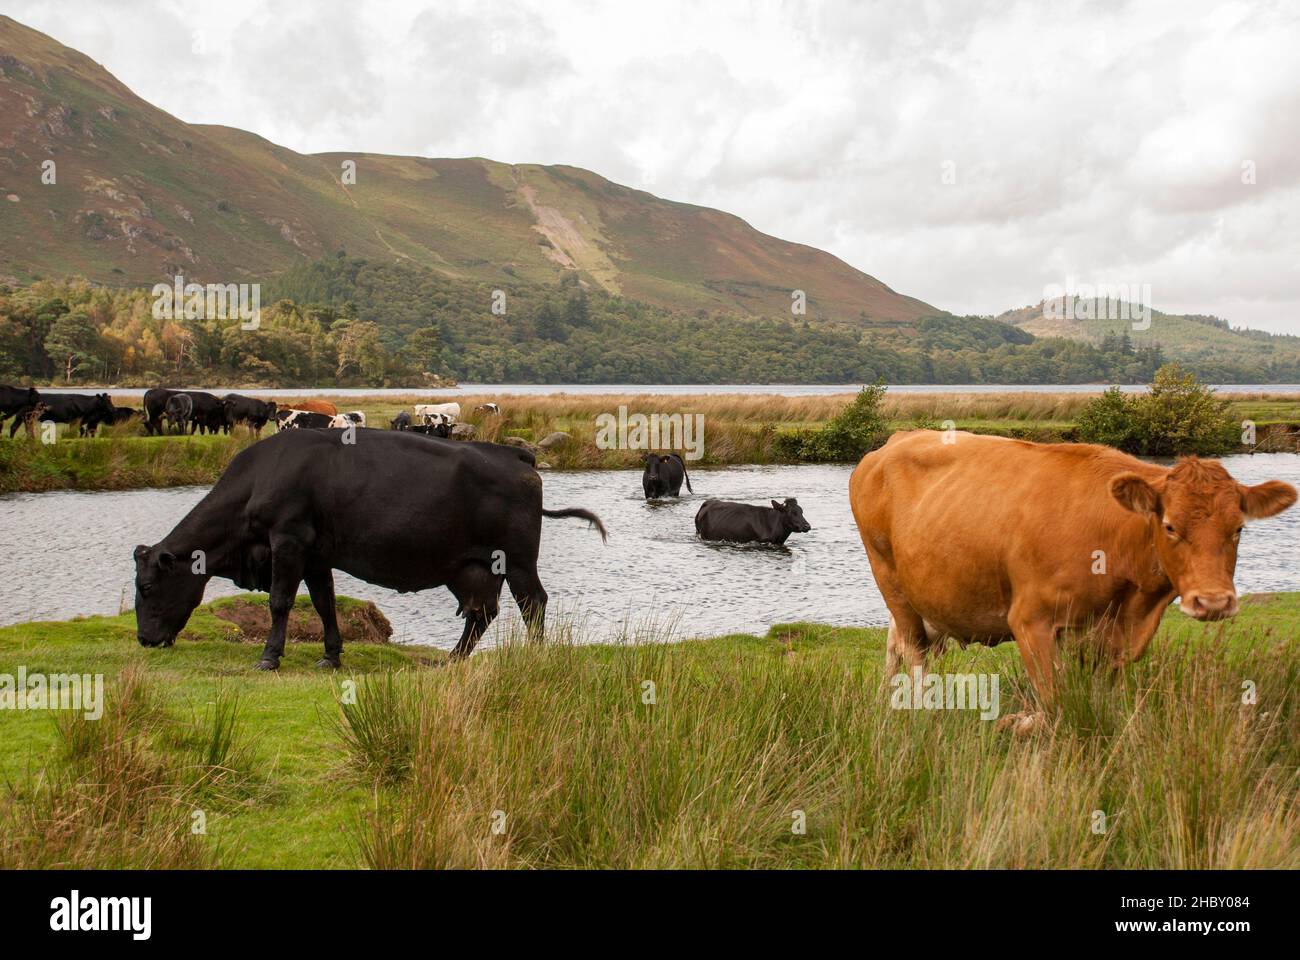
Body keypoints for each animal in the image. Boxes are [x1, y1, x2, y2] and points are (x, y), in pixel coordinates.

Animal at [132, 429, 608, 670]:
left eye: (148, 588)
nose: (143, 639)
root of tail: (517, 456)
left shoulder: (288, 540)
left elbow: (280, 601)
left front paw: (269, 657)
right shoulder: (316, 556)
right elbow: (323, 604)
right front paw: (331, 656)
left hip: (519, 561)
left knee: (533, 604)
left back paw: (535, 658)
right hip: (471, 569)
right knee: (482, 613)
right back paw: (452, 660)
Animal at [848, 431, 1298, 726]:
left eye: (1238, 528)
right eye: (1170, 526)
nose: (1214, 602)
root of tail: (895, 440)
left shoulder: (1108, 639)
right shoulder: (1031, 621)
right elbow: (1055, 704)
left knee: (895, 645)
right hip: (889, 578)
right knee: (914, 650)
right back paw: (922, 712)